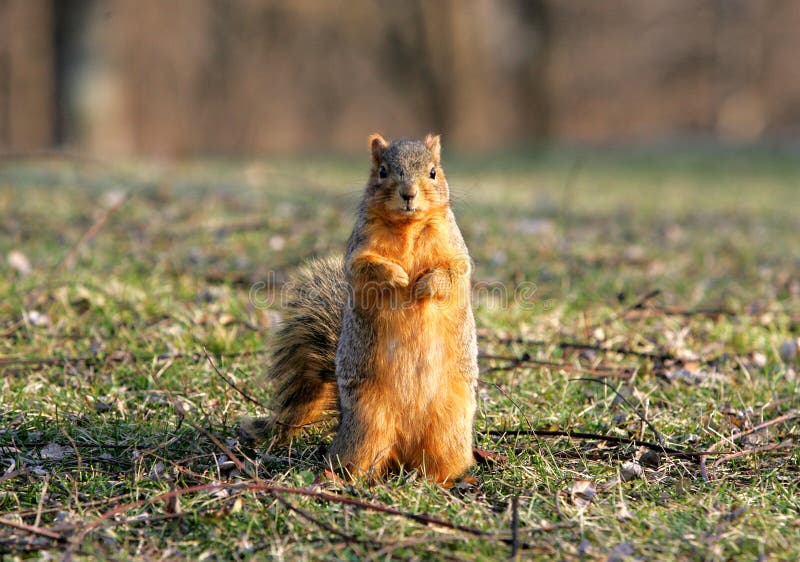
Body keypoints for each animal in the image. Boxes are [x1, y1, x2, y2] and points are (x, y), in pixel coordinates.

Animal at [243, 133, 478, 483]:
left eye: (434, 172)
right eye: (382, 171)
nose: (408, 194)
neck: (408, 227)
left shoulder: (454, 250)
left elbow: (453, 273)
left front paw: (424, 285)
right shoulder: (358, 252)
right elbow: (366, 268)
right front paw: (397, 276)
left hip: (449, 428)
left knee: (441, 463)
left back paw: (447, 480)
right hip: (367, 424)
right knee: (355, 458)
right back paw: (341, 478)